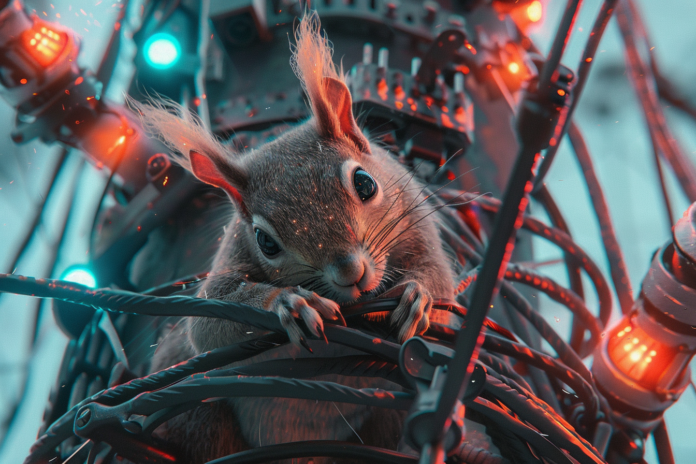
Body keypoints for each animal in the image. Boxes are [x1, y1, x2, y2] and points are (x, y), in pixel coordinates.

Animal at [132, 11, 456, 464]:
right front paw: (290, 302)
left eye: (365, 183)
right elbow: (207, 324)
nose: (350, 272)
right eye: (265, 242)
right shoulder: (232, 254)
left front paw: (418, 296)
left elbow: (443, 289)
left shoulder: (419, 221)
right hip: (199, 413)